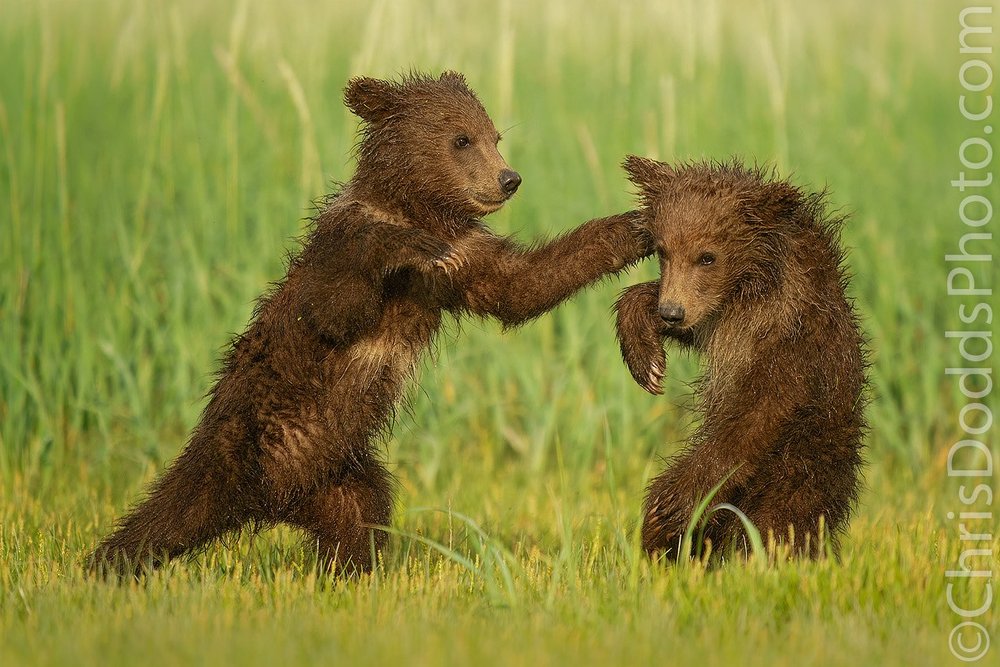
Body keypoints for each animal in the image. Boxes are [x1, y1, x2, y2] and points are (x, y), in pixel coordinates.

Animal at [87, 71, 652, 577]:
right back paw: (105, 563)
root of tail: (272, 503)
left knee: (360, 516)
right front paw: (402, 246)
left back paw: (352, 571)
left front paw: (636, 225)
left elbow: (524, 286)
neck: (418, 208)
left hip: (340, 474)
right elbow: (333, 308)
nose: (508, 179)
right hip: (242, 438)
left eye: (494, 136)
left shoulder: (465, 261)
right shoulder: (344, 243)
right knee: (173, 512)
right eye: (461, 139)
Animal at [613, 156, 868, 560]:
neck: (751, 286)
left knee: (783, 521)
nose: (671, 313)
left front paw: (667, 508)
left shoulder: (789, 344)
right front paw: (647, 359)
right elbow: (685, 320)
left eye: (707, 256)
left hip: (804, 465)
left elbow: (753, 420)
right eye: (663, 251)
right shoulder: (717, 318)